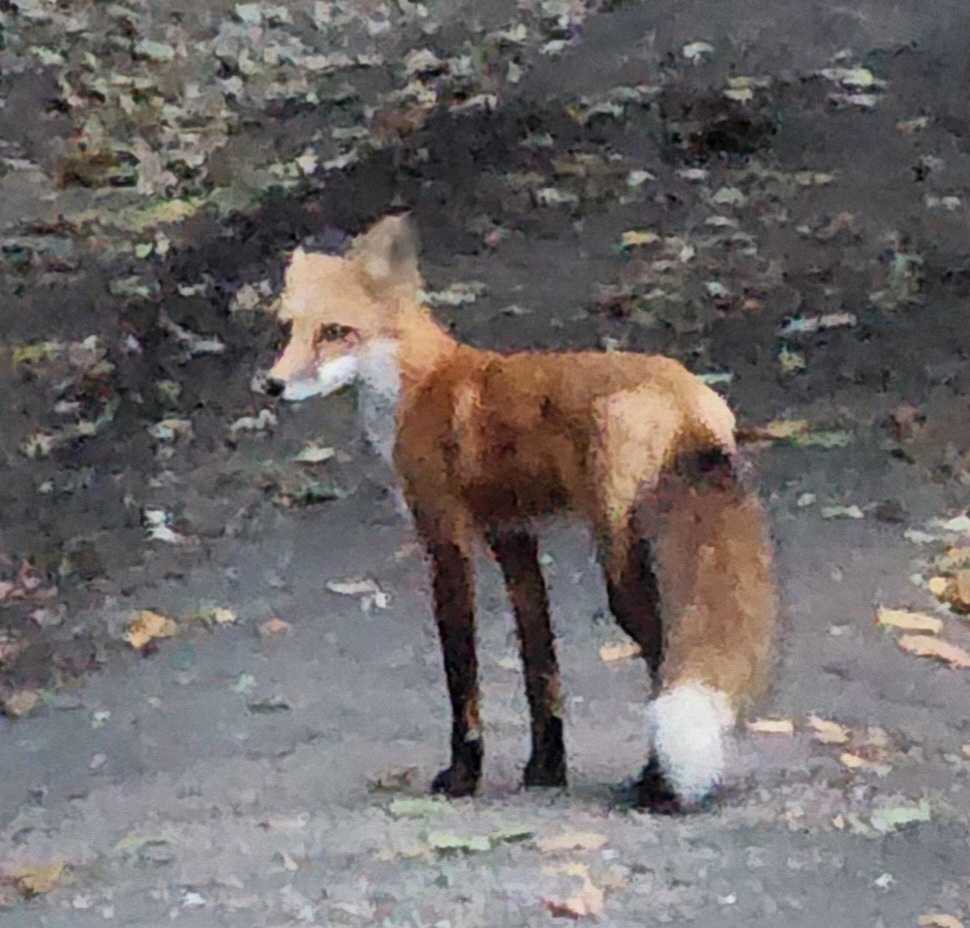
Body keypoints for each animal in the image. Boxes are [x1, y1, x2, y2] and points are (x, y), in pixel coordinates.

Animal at [266, 214, 778, 811]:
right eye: (289, 329)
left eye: (334, 331)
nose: (272, 384)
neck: (419, 385)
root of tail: (689, 397)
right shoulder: (514, 536)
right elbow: (541, 665)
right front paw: (546, 769)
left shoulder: (445, 536)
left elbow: (461, 672)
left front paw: (463, 776)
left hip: (619, 565)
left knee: (660, 652)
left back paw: (658, 785)